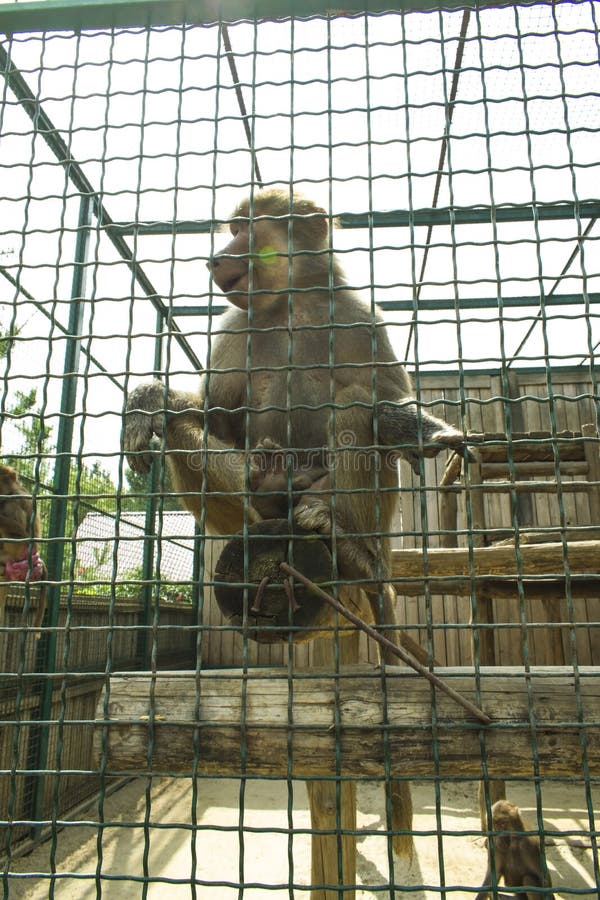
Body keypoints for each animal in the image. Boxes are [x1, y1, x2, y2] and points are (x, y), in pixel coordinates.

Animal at [123, 187, 474, 856]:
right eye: (232, 228)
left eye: (249, 229)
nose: (216, 258)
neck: (290, 306)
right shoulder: (234, 331)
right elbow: (213, 417)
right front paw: (149, 402)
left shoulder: (356, 315)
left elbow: (383, 404)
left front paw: (432, 433)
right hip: (240, 516)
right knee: (202, 445)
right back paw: (270, 490)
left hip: (369, 522)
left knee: (354, 407)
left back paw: (347, 543)